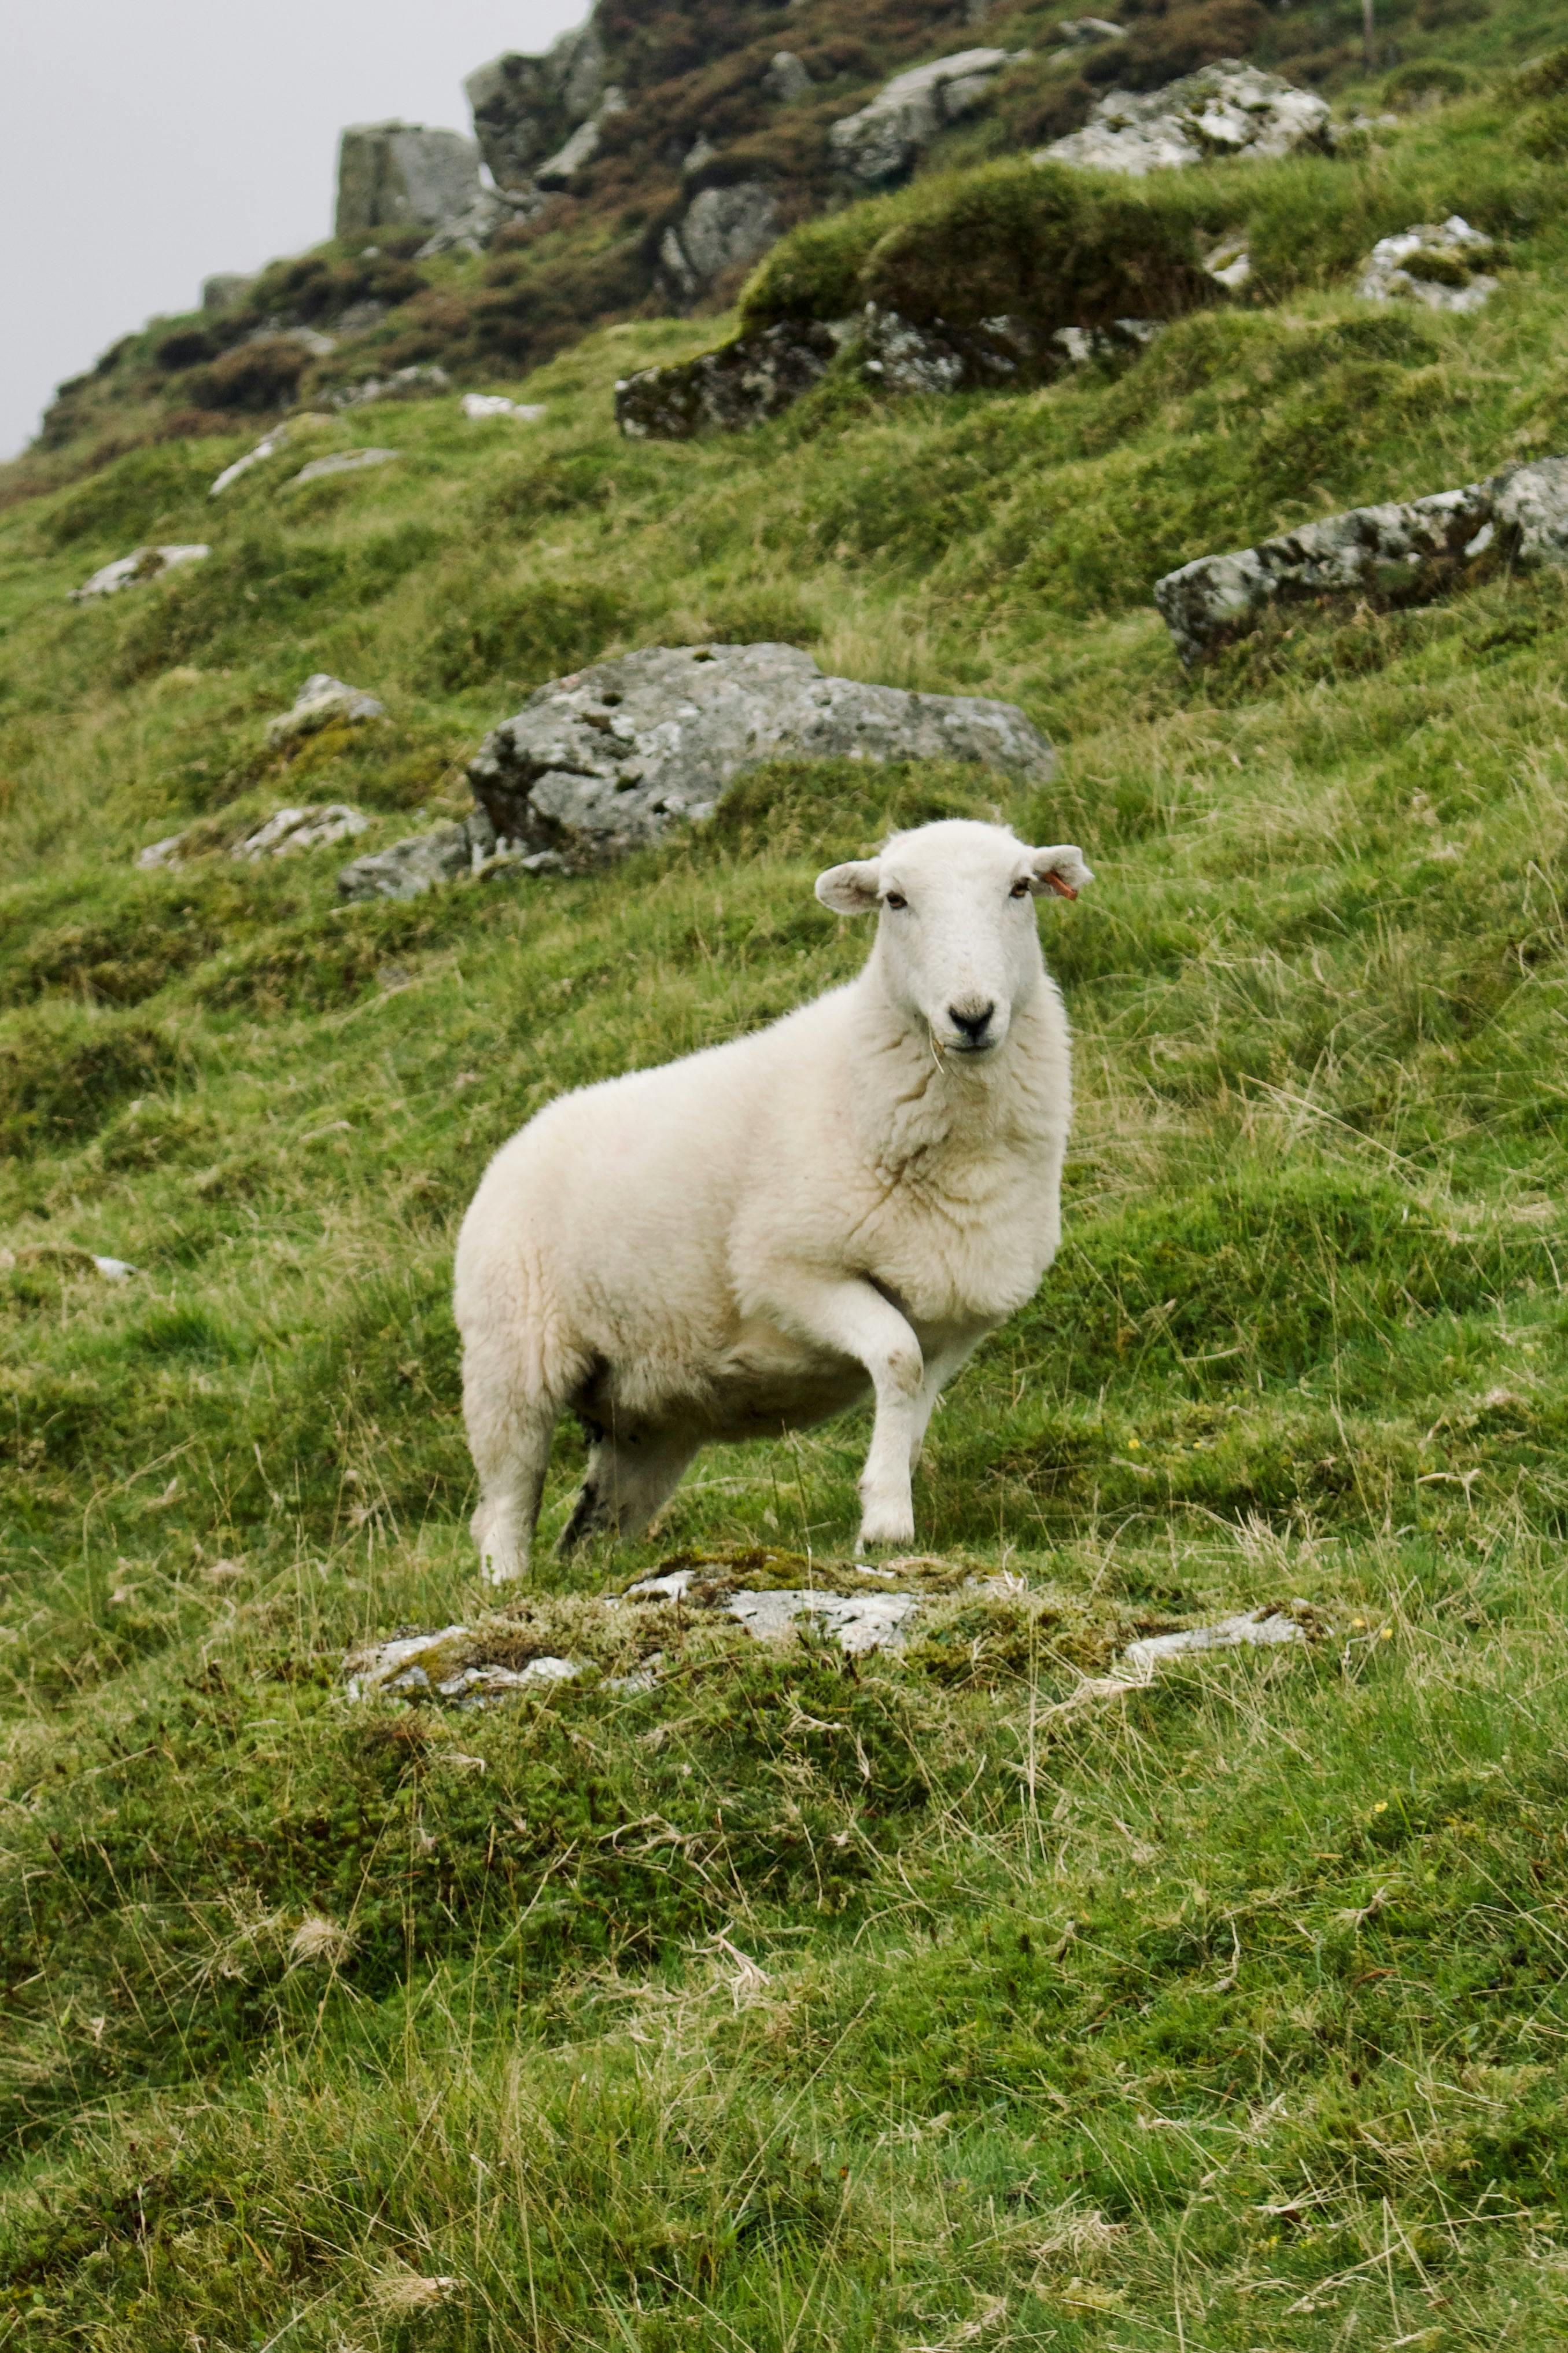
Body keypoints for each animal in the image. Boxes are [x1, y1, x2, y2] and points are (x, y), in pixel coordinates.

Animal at [454, 817, 1092, 1579]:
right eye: (894, 899)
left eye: (1019, 887)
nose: (970, 1015)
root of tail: (511, 1147)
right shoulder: (786, 1274)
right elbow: (895, 1358)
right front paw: (885, 1523)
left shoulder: (958, 1319)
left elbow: (912, 1400)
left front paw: (887, 1500)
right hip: (510, 1364)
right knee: (502, 1508)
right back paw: (509, 1587)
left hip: (645, 1417)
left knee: (594, 1524)